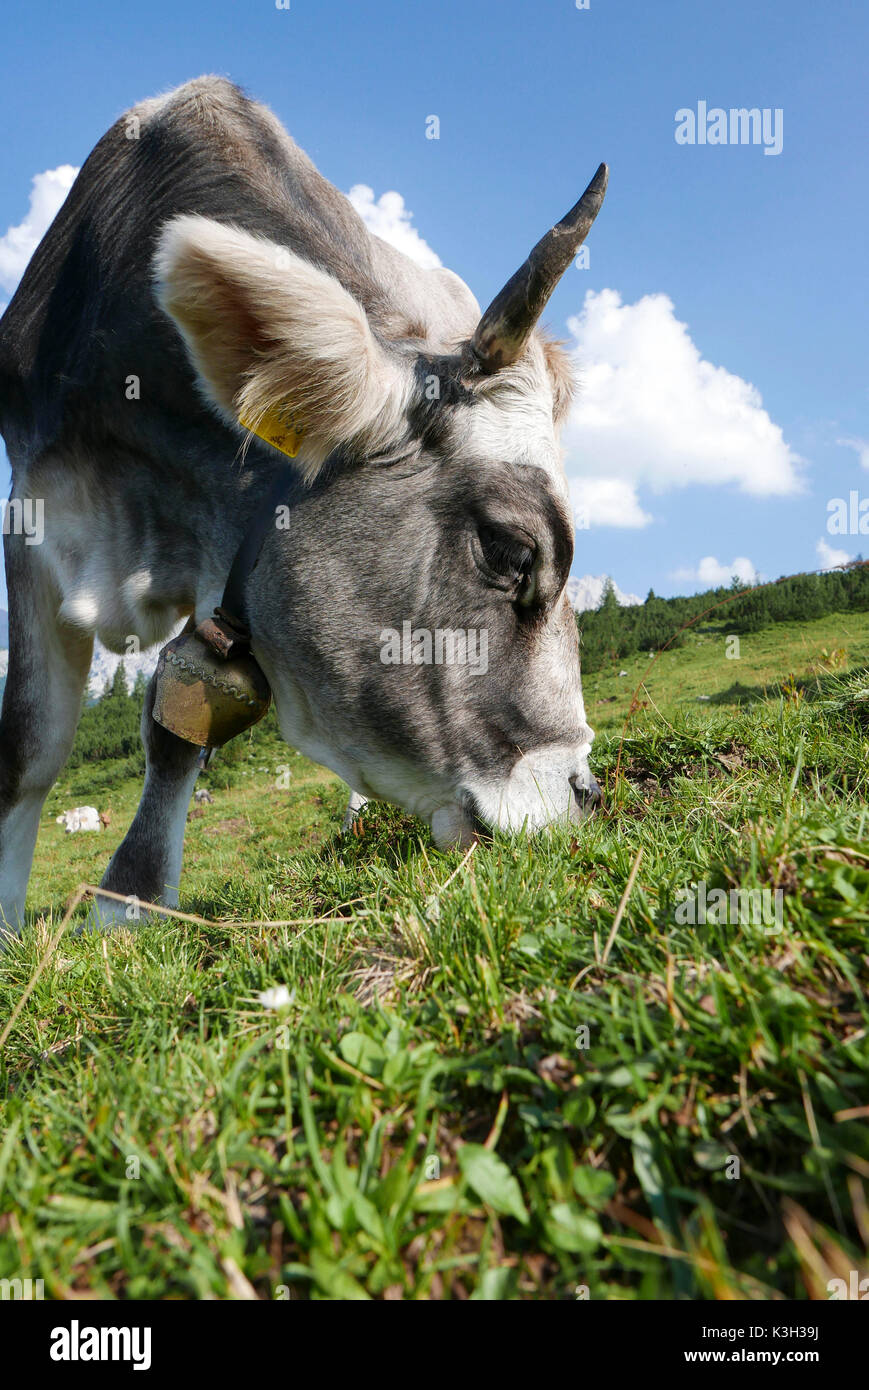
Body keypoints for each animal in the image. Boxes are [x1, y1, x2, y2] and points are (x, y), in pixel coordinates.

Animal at [0, 77, 607, 933]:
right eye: (511, 550)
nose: (583, 794)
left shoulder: (230, 554)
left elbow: (175, 721)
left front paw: (129, 903)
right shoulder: (32, 509)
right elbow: (30, 744)